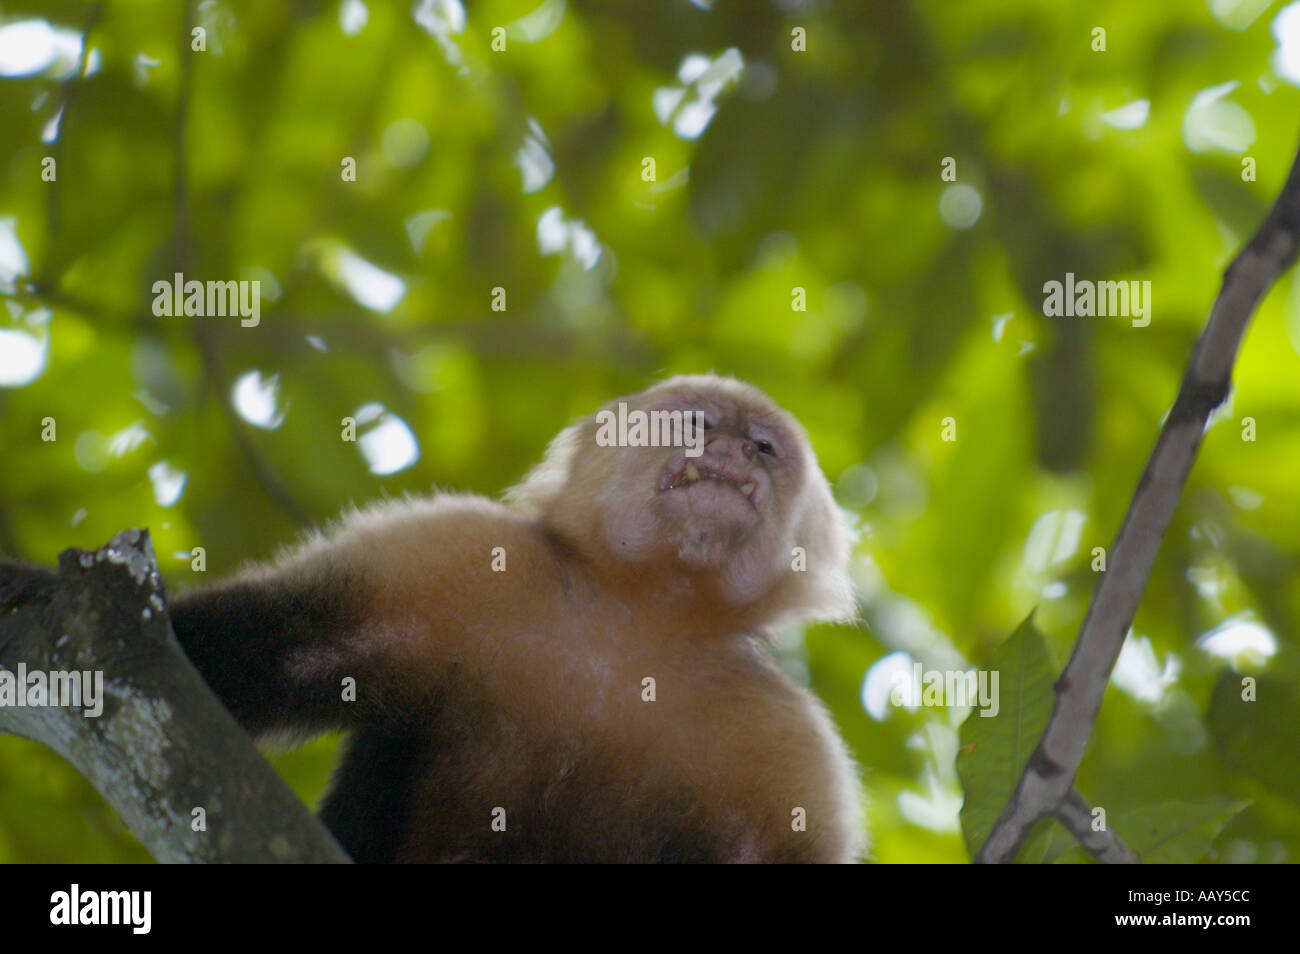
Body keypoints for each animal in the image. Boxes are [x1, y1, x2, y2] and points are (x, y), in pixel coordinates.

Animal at [2, 374, 864, 863]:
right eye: (696, 424)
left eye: (763, 448)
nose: (734, 454)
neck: (635, 619)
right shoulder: (462, 554)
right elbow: (259, 652)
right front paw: (28, 588)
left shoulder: (784, 734)